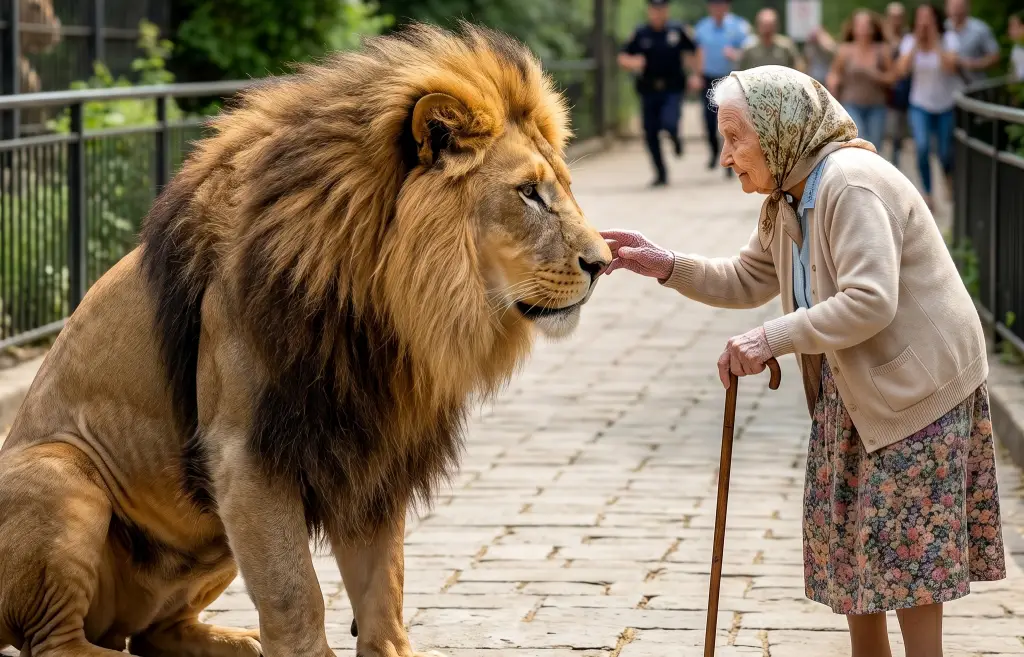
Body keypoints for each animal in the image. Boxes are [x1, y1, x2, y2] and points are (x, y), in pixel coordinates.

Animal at [0, 22, 610, 657]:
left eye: (563, 187)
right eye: (528, 194)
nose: (603, 262)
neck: (384, 308)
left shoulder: (371, 451)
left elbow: (383, 584)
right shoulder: (243, 455)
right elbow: (294, 591)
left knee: (151, 632)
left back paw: (234, 641)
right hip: (63, 473)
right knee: (56, 641)